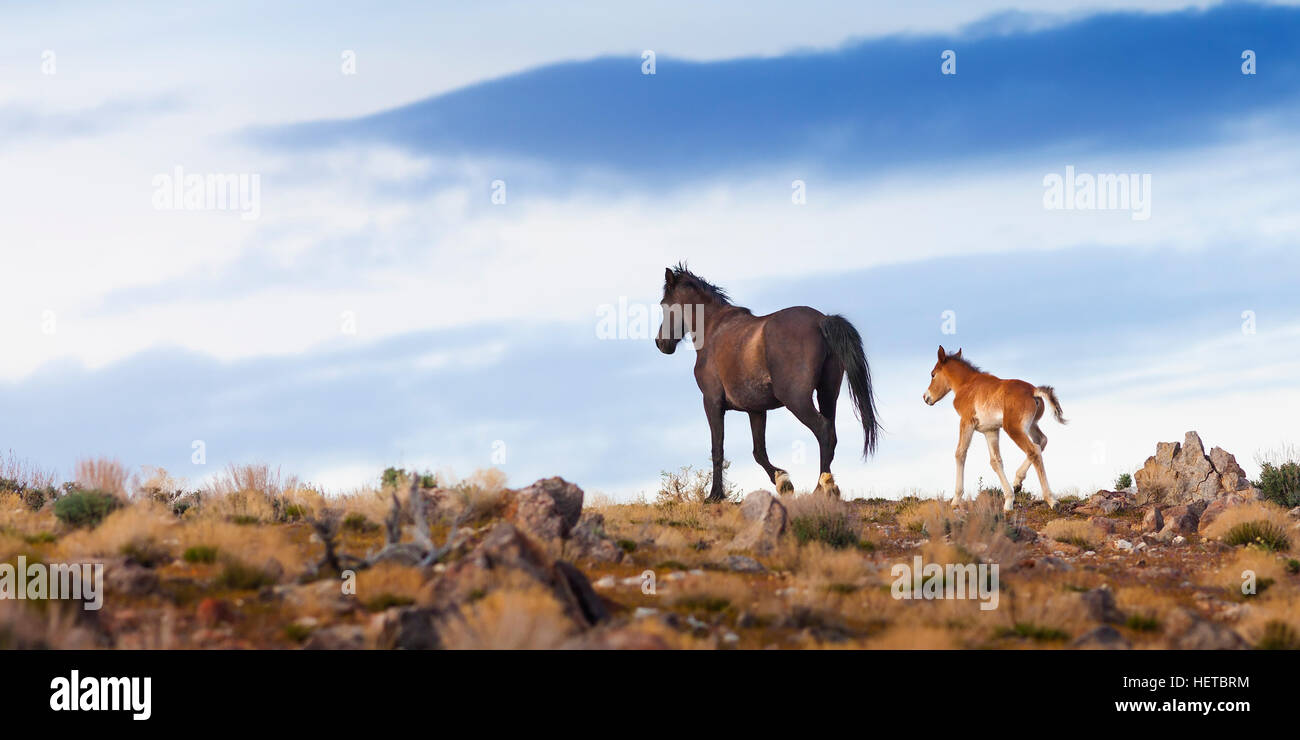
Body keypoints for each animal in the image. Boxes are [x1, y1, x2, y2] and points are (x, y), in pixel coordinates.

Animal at [655, 264, 880, 502]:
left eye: (664, 305)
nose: (660, 343)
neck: (714, 329)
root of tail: (821, 320)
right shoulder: (756, 409)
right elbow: (759, 452)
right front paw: (783, 482)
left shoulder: (712, 402)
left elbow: (718, 449)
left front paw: (715, 495)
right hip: (827, 394)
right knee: (831, 435)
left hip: (797, 400)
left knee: (823, 430)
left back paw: (821, 490)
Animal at [922, 346, 1066, 511]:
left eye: (933, 374)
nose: (926, 397)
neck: (967, 384)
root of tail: (1033, 390)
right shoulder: (990, 430)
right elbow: (996, 461)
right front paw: (1009, 501)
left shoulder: (966, 421)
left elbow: (960, 454)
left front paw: (956, 500)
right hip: (1031, 425)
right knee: (1041, 441)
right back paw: (1017, 482)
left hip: (1013, 428)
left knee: (1033, 450)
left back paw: (1052, 500)